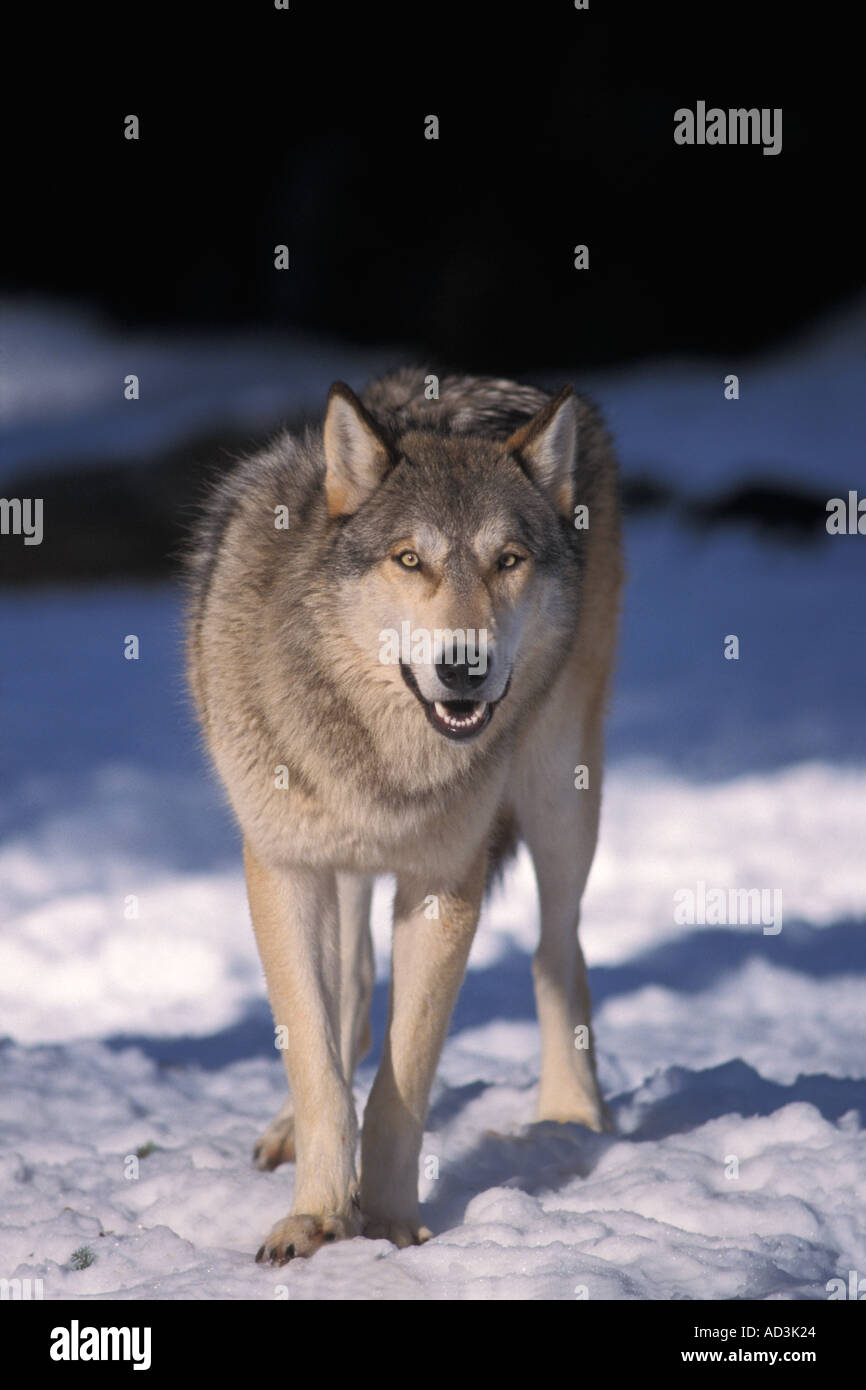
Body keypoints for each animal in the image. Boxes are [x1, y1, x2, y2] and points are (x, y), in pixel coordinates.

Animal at [186, 368, 623, 1262]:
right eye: (410, 560)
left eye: (507, 561)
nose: (464, 667)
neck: (384, 753)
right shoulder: (284, 868)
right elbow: (318, 1062)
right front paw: (317, 1215)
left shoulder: (441, 885)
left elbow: (404, 1079)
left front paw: (385, 1221)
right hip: (349, 868)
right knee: (349, 995)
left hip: (562, 792)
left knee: (556, 949)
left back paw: (569, 1112)